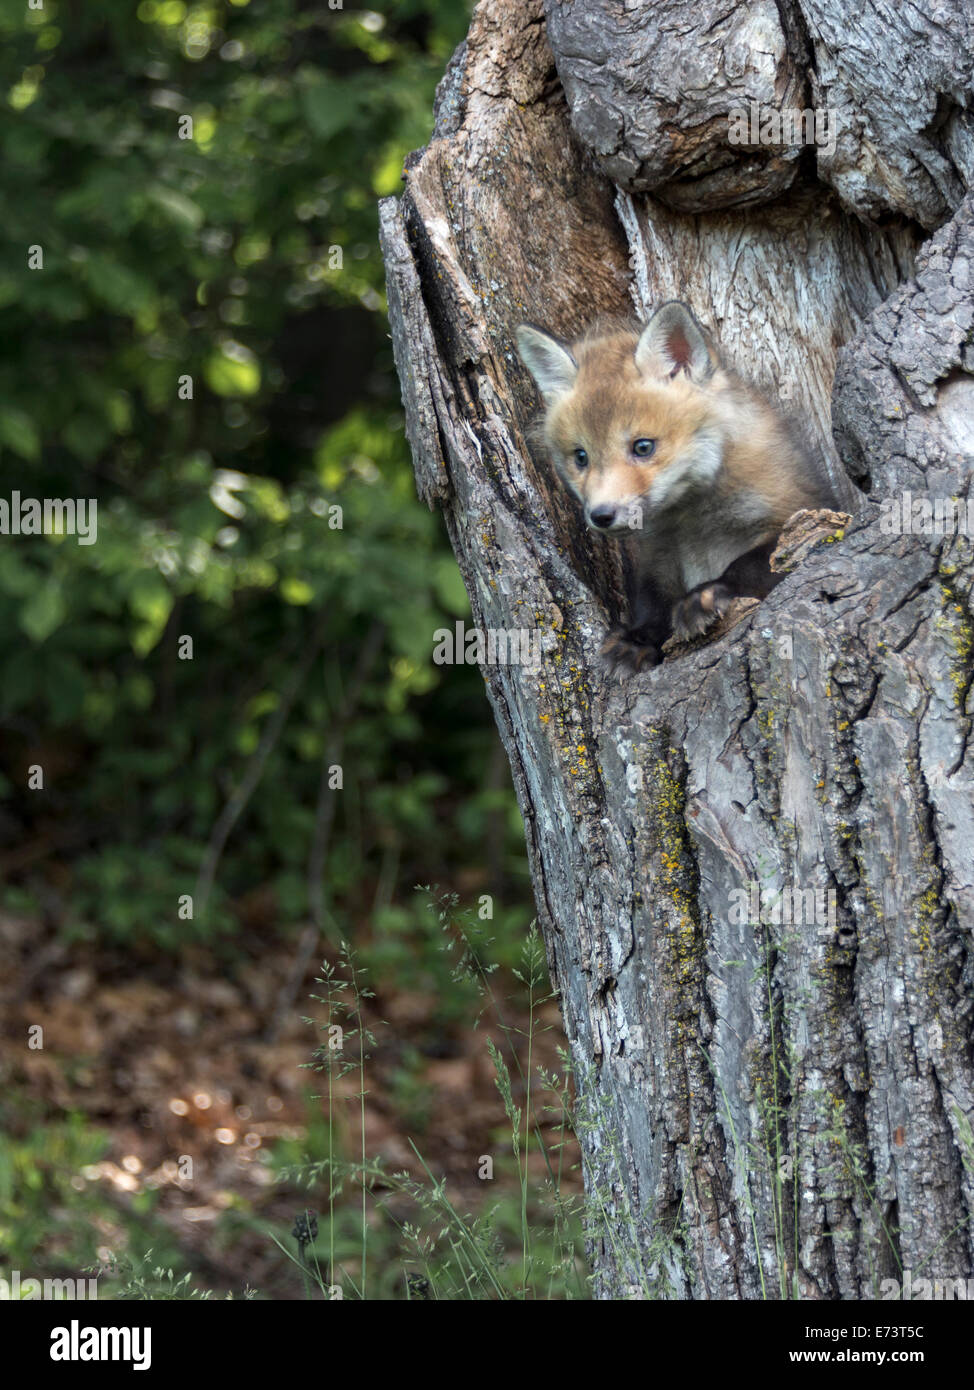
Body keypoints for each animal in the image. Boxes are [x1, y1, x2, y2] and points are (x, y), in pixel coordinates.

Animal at [516, 301, 842, 671]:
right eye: (581, 457)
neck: (694, 523)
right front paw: (637, 640)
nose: (601, 515)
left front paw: (706, 595)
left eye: (643, 447)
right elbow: (652, 605)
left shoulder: (802, 513)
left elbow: (753, 565)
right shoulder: (658, 556)